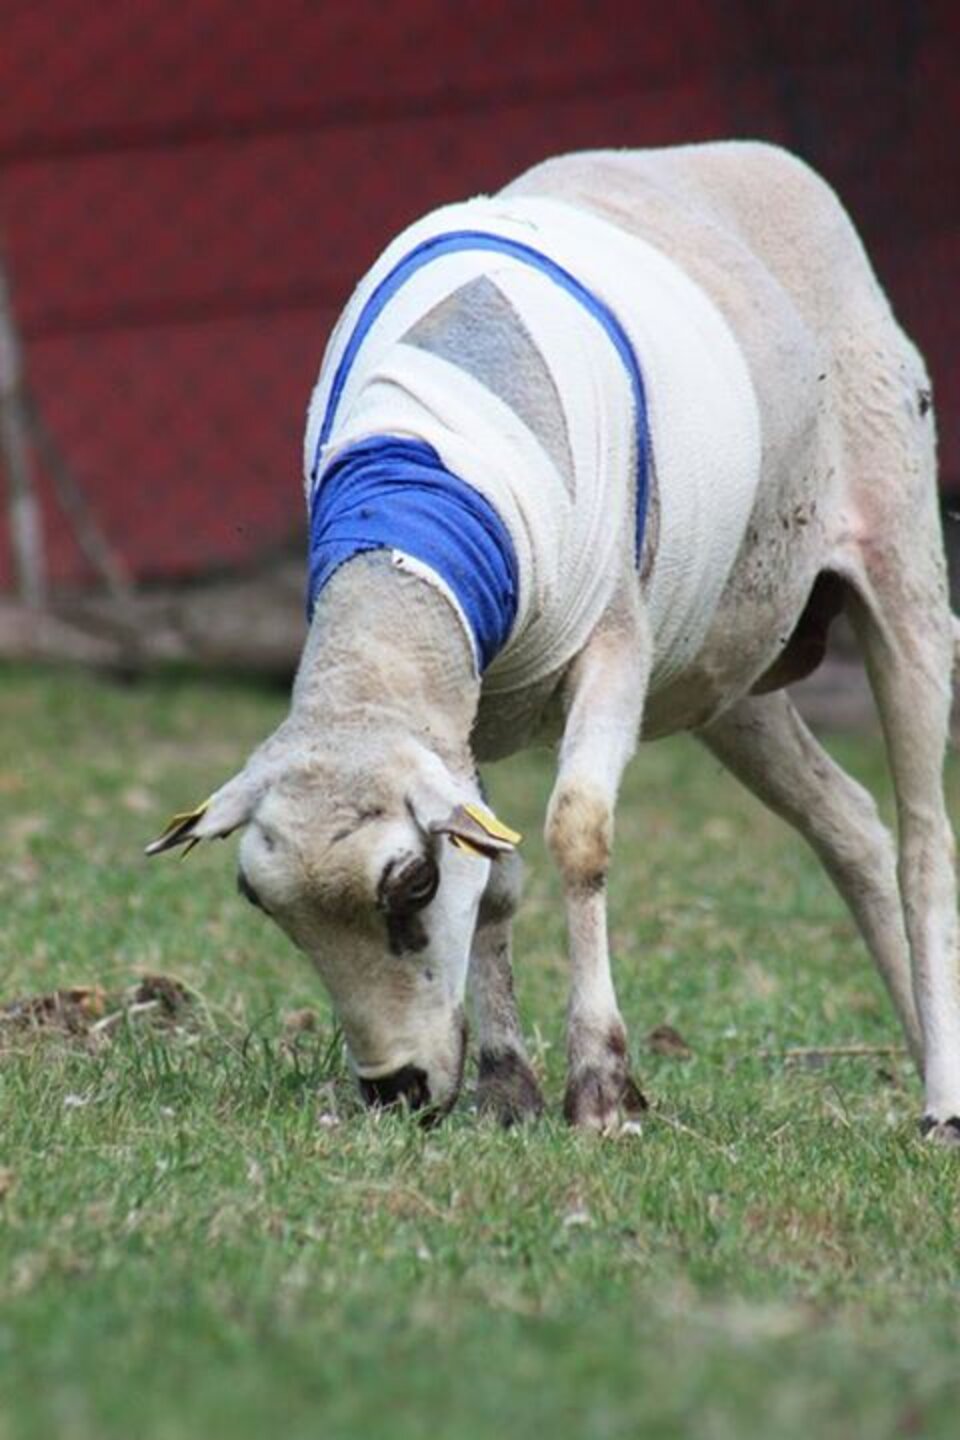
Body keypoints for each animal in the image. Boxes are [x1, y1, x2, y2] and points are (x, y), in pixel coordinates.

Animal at [148, 142, 960, 1142]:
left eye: (410, 887)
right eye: (263, 906)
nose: (395, 1090)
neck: (420, 481)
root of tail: (751, 158)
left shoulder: (612, 649)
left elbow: (578, 832)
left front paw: (603, 1090)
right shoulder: (464, 710)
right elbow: (497, 875)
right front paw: (506, 1087)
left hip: (899, 559)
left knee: (924, 841)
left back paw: (942, 1100)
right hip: (724, 669)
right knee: (849, 822)